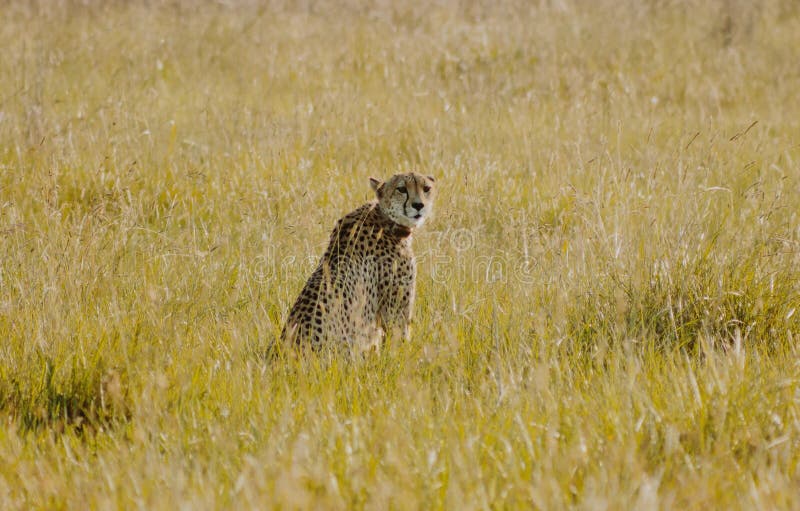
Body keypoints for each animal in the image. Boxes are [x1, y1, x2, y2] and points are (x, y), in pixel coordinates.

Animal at [281, 172, 436, 353]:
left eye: (426, 188)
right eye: (402, 189)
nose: (418, 205)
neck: (385, 218)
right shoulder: (394, 312)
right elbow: (399, 343)